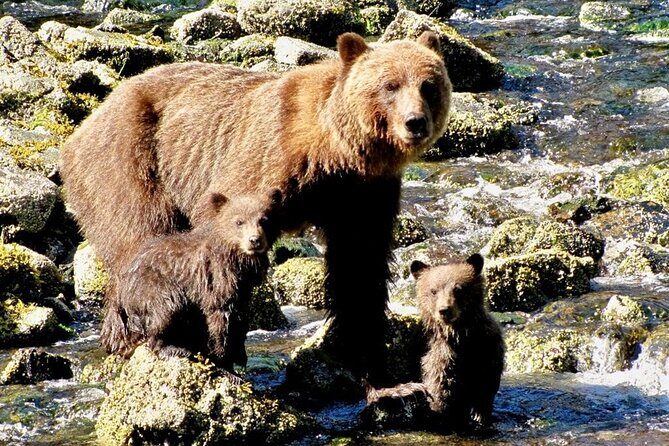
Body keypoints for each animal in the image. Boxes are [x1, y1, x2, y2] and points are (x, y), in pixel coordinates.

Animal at [102, 191, 277, 376]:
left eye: (264, 219)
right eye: (239, 221)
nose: (255, 240)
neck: (237, 260)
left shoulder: (243, 288)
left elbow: (239, 318)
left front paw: (239, 355)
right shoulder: (214, 281)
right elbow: (218, 319)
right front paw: (226, 365)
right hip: (151, 288)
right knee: (167, 308)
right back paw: (174, 348)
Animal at [366, 254, 505, 430]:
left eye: (458, 288)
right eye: (433, 290)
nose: (444, 310)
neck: (458, 335)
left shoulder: (486, 348)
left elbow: (484, 389)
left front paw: (479, 417)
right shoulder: (437, 355)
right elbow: (440, 388)